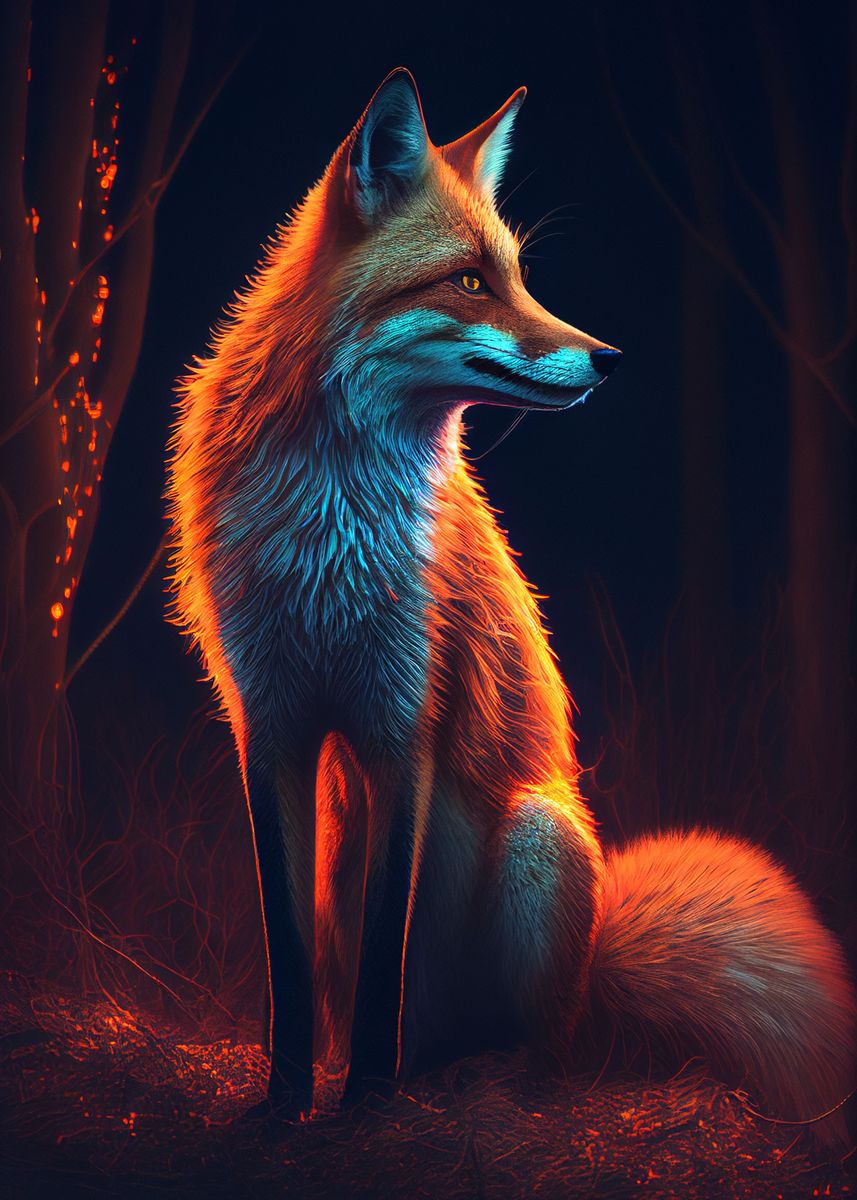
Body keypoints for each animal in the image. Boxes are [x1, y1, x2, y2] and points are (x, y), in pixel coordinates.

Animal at [166, 69, 855, 1142]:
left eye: (519, 277)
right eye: (468, 282)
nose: (609, 356)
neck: (331, 524)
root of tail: (593, 975)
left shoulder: (403, 724)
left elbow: (384, 958)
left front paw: (365, 1105)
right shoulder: (267, 724)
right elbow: (291, 960)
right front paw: (285, 1104)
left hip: (540, 834)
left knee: (546, 1054)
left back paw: (465, 1081)